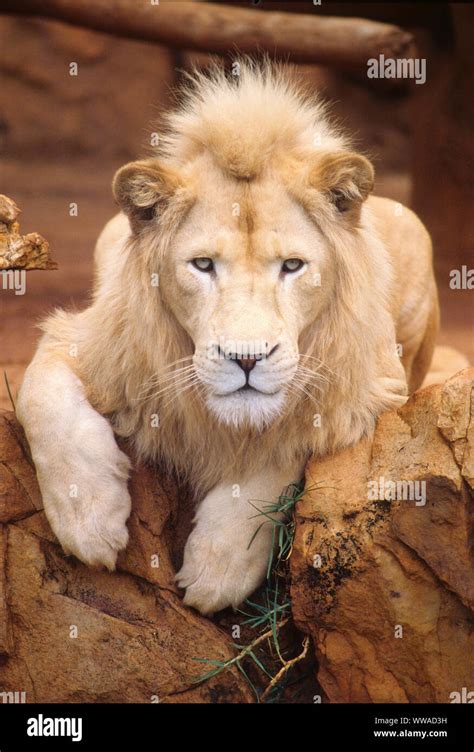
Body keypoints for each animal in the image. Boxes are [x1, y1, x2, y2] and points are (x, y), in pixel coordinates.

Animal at [17, 62, 440, 615]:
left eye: (292, 266)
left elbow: (282, 452)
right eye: (202, 264)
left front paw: (219, 567)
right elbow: (38, 394)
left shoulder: (370, 389)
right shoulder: (90, 339)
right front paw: (88, 517)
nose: (247, 359)